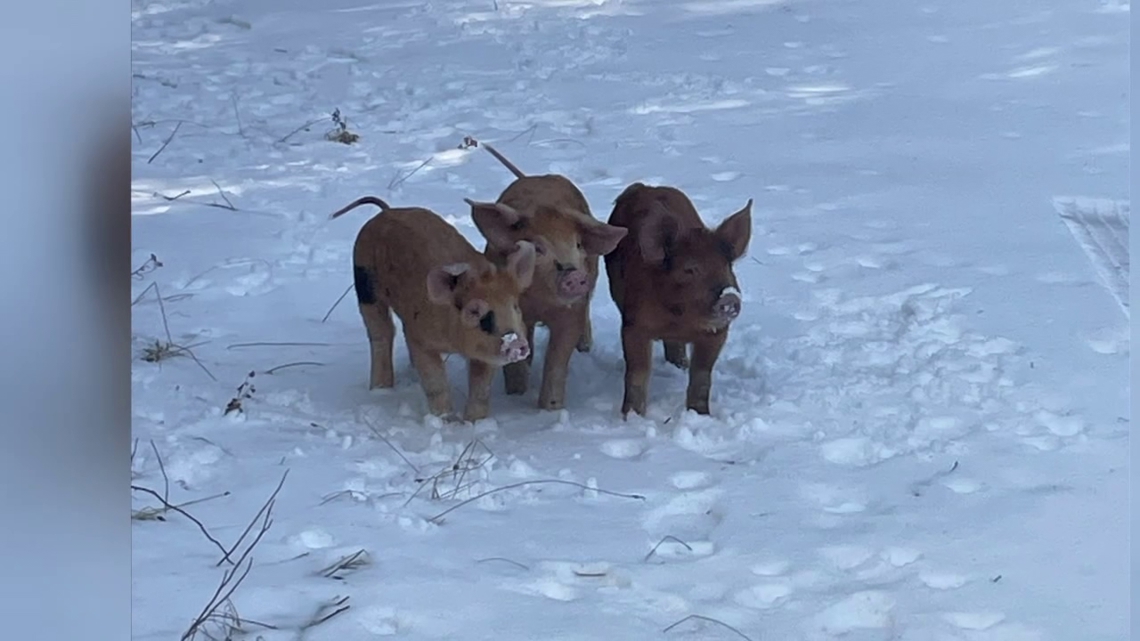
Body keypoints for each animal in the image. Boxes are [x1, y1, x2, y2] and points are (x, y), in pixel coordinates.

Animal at [329, 196, 537, 422]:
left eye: (515, 306)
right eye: (474, 311)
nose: (515, 342)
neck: (453, 344)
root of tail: (386, 211)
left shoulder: (484, 352)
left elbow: (481, 388)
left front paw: (473, 422)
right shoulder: (421, 339)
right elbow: (435, 383)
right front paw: (445, 421)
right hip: (364, 281)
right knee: (381, 333)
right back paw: (380, 390)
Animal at [463, 143, 628, 411]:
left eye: (578, 245)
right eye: (538, 248)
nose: (575, 274)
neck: (540, 304)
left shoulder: (571, 311)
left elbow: (558, 358)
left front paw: (550, 409)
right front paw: (516, 393)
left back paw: (585, 348)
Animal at [603, 183, 753, 417]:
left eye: (727, 266)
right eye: (689, 269)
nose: (728, 296)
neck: (678, 321)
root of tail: (647, 186)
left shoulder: (718, 332)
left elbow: (702, 375)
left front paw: (701, 415)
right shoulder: (633, 324)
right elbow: (637, 373)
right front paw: (631, 416)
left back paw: (680, 365)